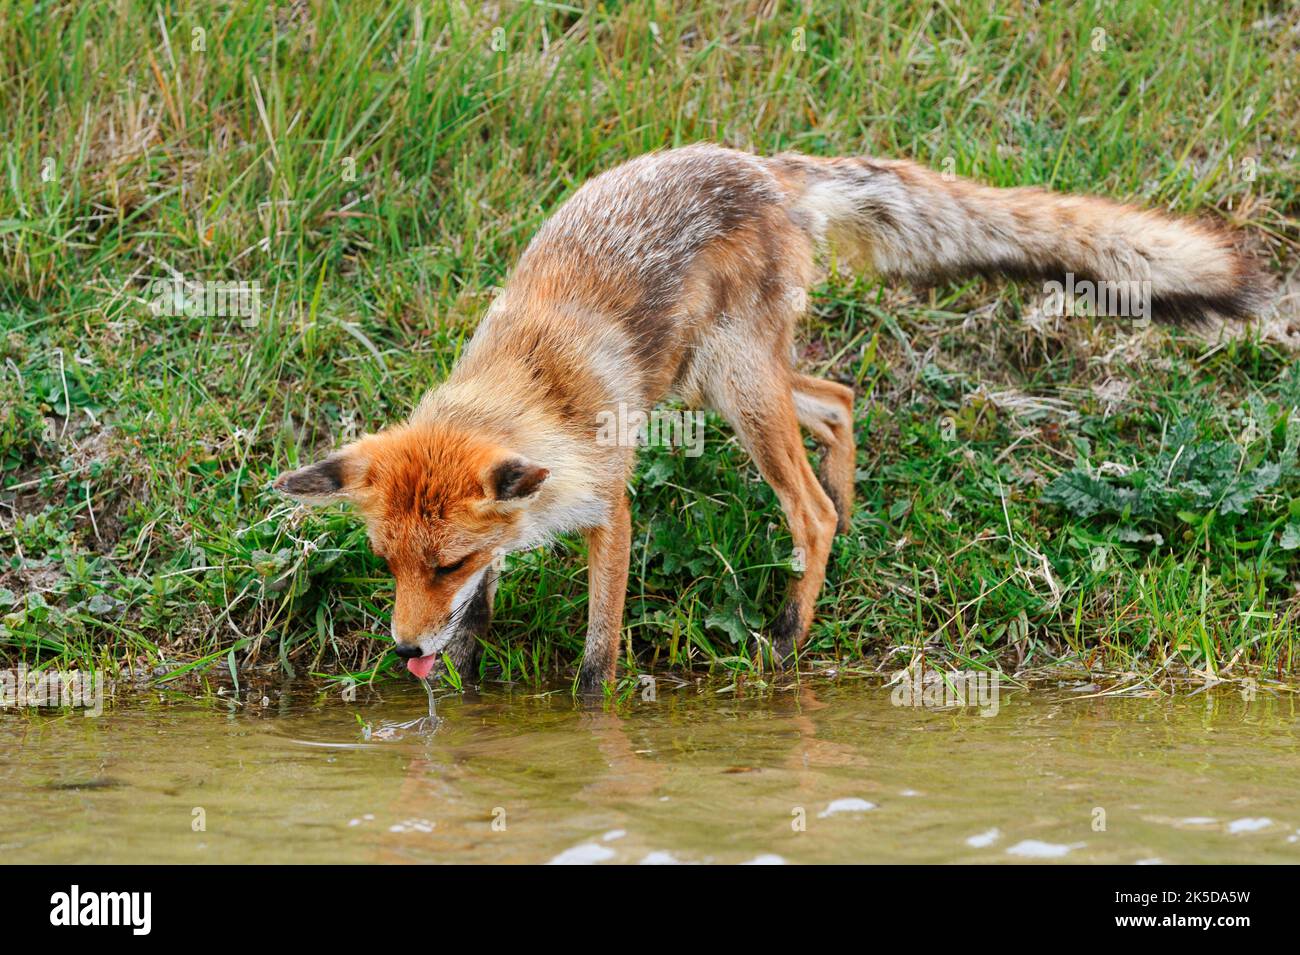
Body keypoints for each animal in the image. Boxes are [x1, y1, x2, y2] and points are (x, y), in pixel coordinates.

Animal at [273, 143, 1268, 693]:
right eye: (388, 563)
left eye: (442, 561)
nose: (402, 647)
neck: (533, 383)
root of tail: (765, 167)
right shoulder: (520, 517)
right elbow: (477, 626)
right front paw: (455, 698)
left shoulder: (608, 507)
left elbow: (597, 658)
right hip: (716, 386)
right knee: (838, 402)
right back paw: (853, 513)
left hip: (735, 385)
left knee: (809, 505)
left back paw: (793, 632)